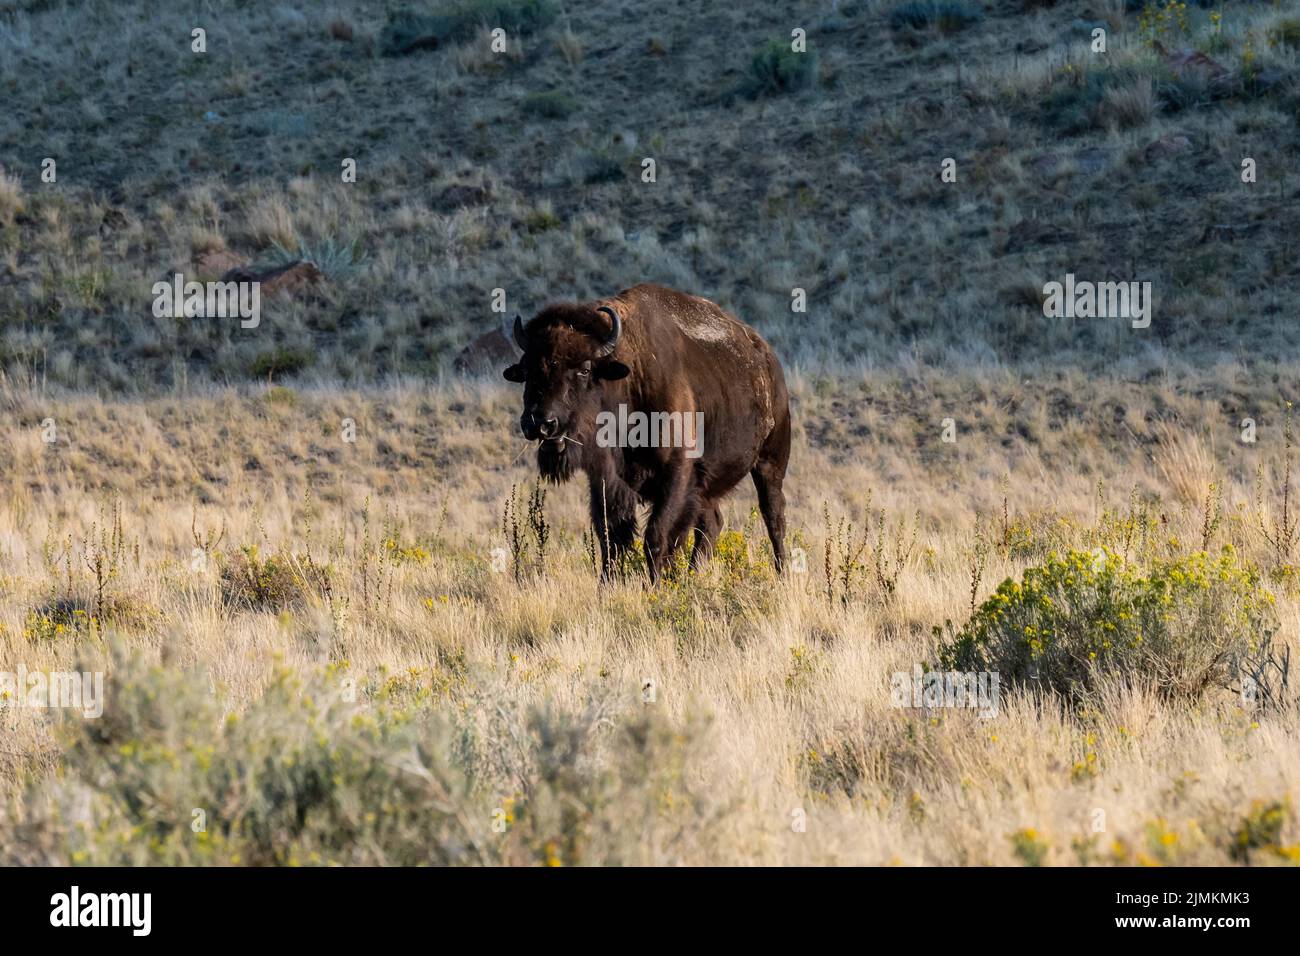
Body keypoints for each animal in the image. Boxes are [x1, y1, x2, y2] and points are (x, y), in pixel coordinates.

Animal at [503, 283, 791, 582]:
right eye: (527, 370)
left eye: (584, 369)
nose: (540, 422)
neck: (628, 380)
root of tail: (767, 359)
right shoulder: (606, 480)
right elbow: (611, 539)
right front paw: (607, 587)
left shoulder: (676, 474)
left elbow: (657, 536)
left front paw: (654, 586)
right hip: (708, 485)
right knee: (711, 524)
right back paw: (693, 576)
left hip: (771, 460)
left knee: (773, 515)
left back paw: (782, 574)